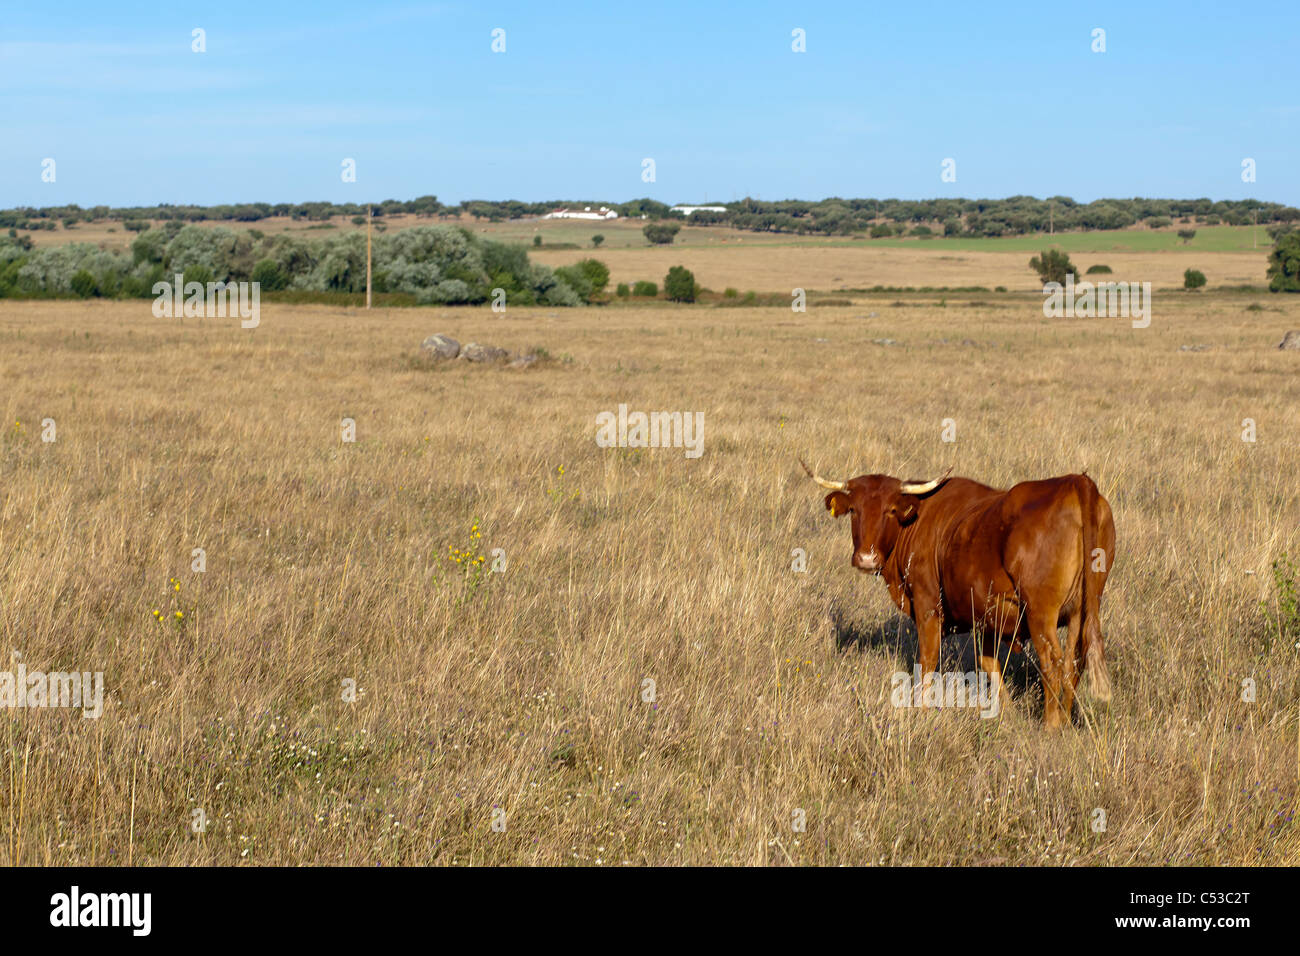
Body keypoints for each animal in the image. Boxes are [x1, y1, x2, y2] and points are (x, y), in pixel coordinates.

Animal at [800, 458, 1114, 727]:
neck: (917, 519)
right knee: (1074, 663)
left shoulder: (927, 606)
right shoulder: (988, 617)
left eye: (890, 510)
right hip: (1080, 612)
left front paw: (922, 711)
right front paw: (1007, 713)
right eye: (854, 509)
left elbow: (927, 661)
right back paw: (1064, 720)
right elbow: (988, 663)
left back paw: (1051, 725)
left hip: (1041, 616)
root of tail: (1075, 482)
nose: (866, 558)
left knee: (1052, 666)